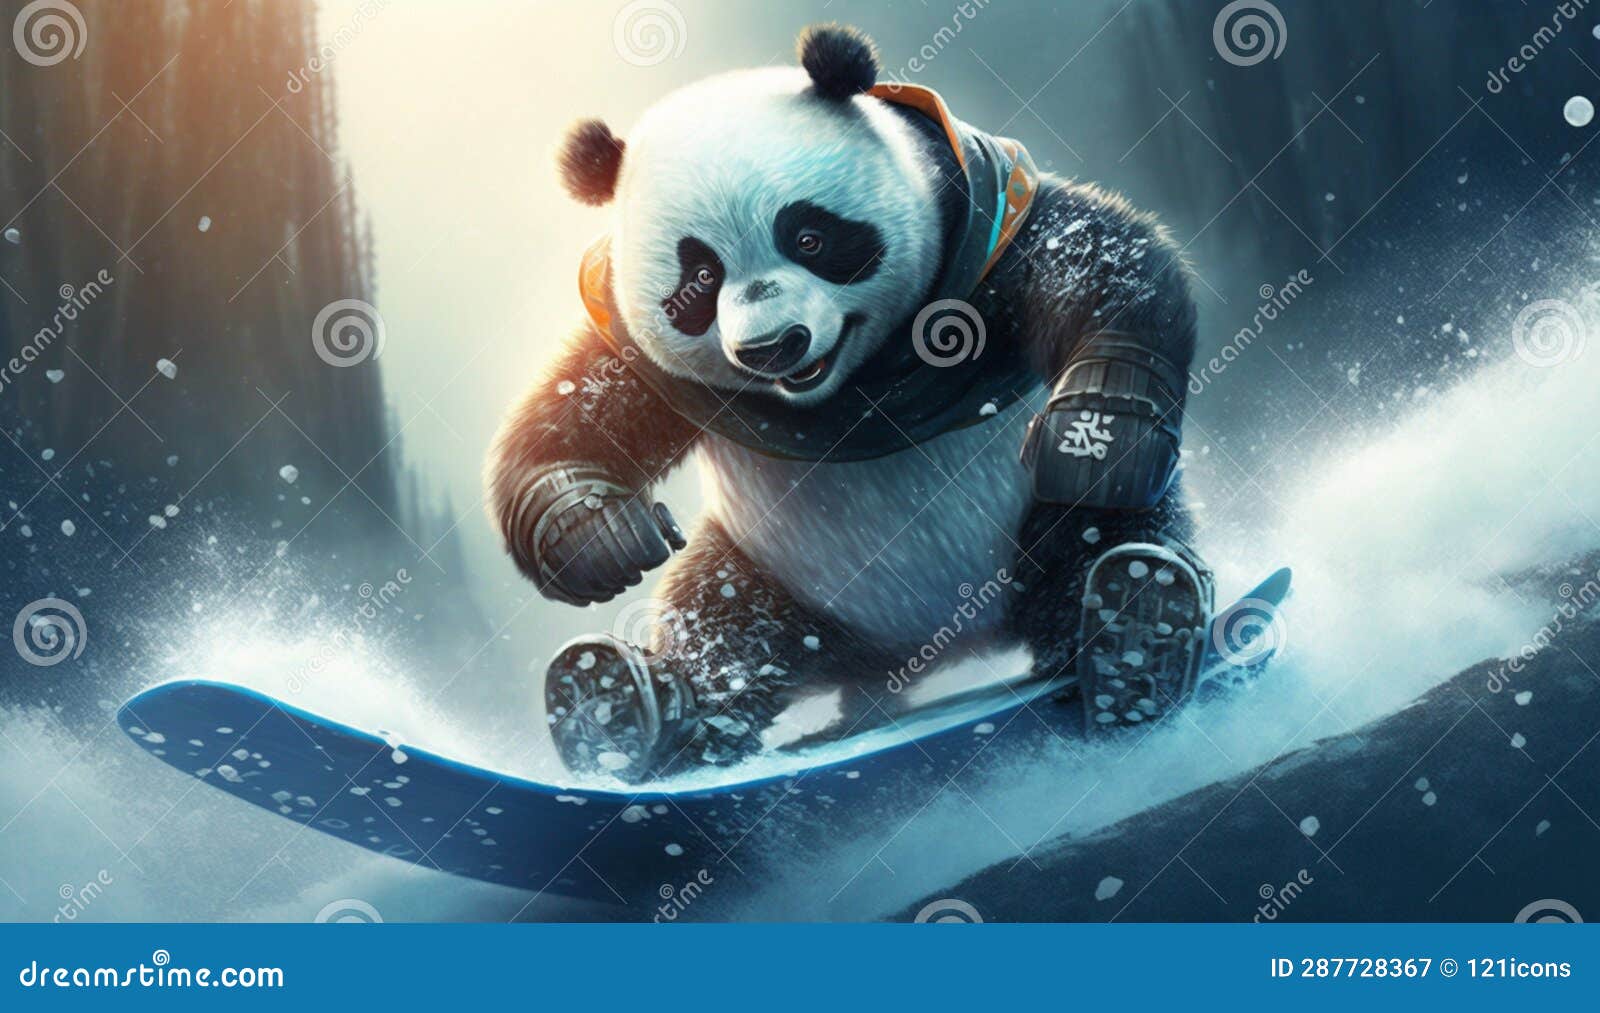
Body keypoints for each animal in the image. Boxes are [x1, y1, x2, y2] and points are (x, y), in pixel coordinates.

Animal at [487, 24, 1210, 780]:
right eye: (700, 277)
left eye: (809, 236)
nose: (773, 346)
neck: (855, 387)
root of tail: (935, 648)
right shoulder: (643, 353)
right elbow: (571, 418)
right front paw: (593, 533)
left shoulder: (985, 237)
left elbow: (1102, 264)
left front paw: (1100, 433)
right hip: (780, 567)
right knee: (724, 617)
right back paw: (632, 705)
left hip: (1024, 525)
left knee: (1098, 532)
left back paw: (1131, 633)